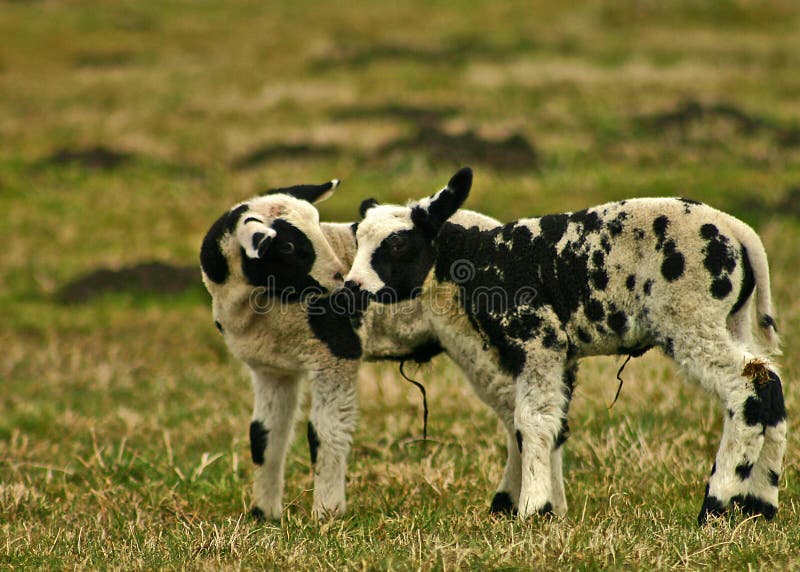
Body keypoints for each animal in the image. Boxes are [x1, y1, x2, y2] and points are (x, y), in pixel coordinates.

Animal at [200, 178, 499, 520]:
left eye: (318, 227)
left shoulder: (334, 353)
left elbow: (324, 432)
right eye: (287, 247)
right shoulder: (271, 368)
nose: (341, 280)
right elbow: (264, 436)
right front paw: (264, 514)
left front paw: (326, 513)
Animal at [343, 167, 786, 525]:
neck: (478, 258)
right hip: (730, 319)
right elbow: (551, 421)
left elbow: (531, 421)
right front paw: (548, 510)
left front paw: (532, 510)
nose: (352, 288)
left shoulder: (539, 337)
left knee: (746, 385)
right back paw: (761, 503)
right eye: (358, 242)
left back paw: (717, 505)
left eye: (397, 245)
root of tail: (739, 231)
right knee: (769, 383)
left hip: (690, 317)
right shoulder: (560, 356)